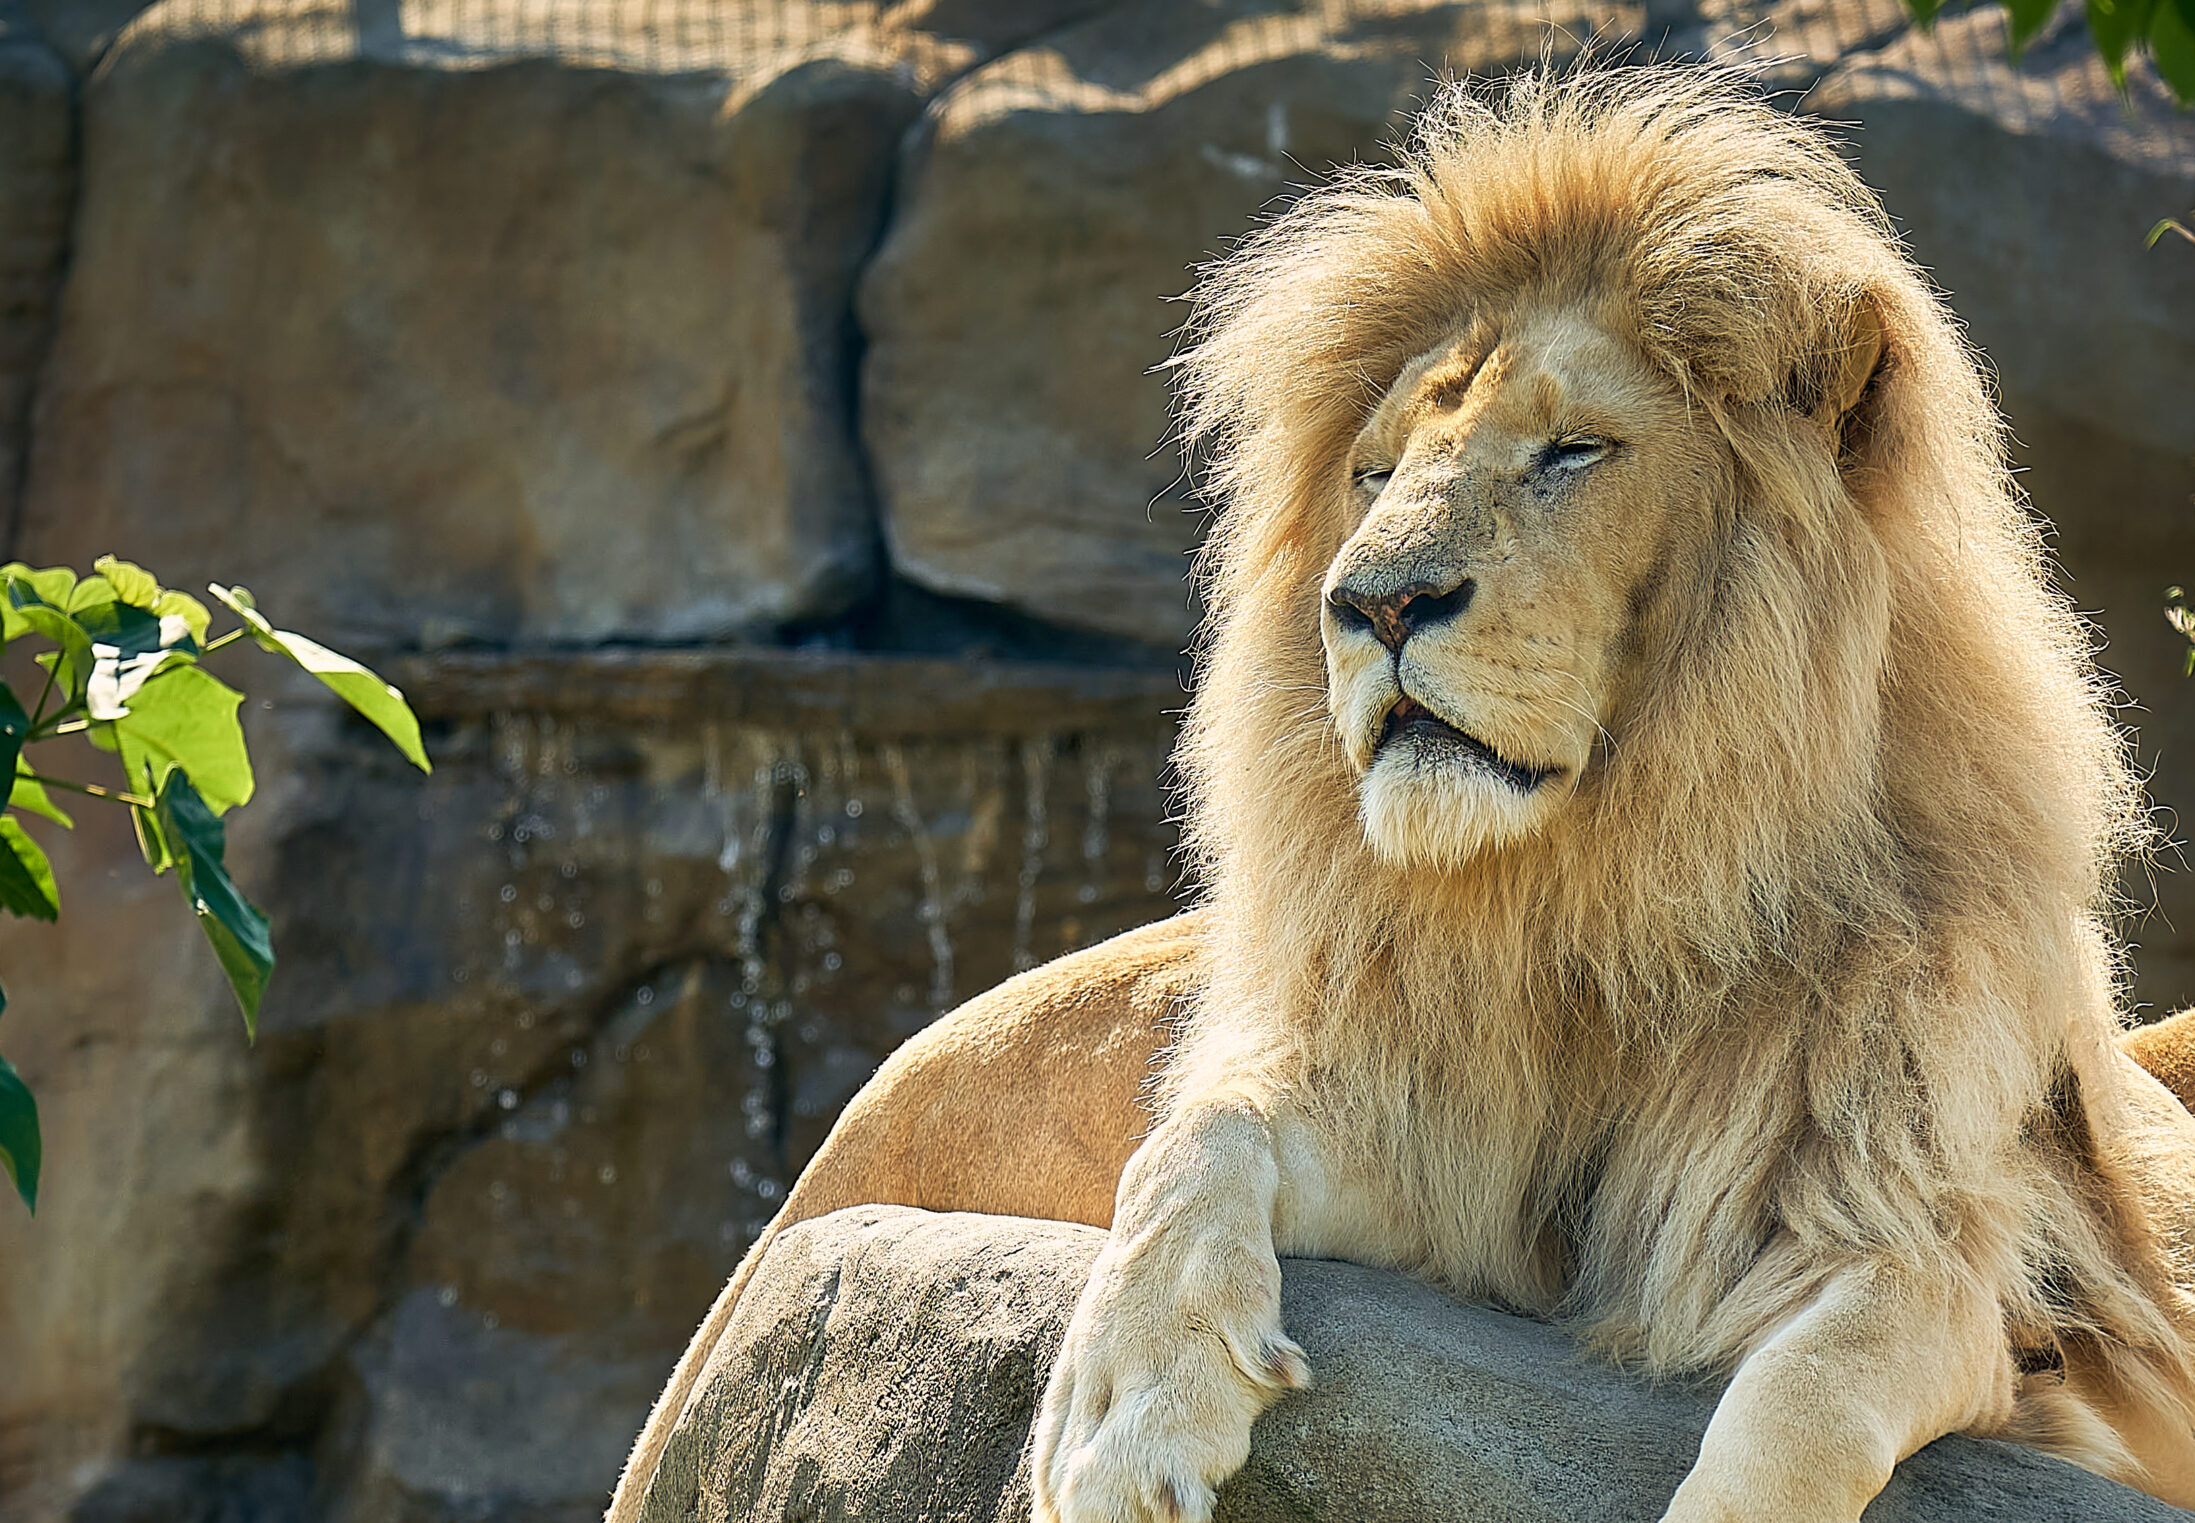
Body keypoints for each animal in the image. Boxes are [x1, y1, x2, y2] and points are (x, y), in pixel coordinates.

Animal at [610, 66, 2195, 1522]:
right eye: (1374, 471)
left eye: (1572, 449)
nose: (1370, 602)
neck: (1608, 889)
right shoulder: (1437, 1160)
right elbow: (1196, 1137)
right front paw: (1126, 1414)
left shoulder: (1941, 1254)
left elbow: (1809, 1391)